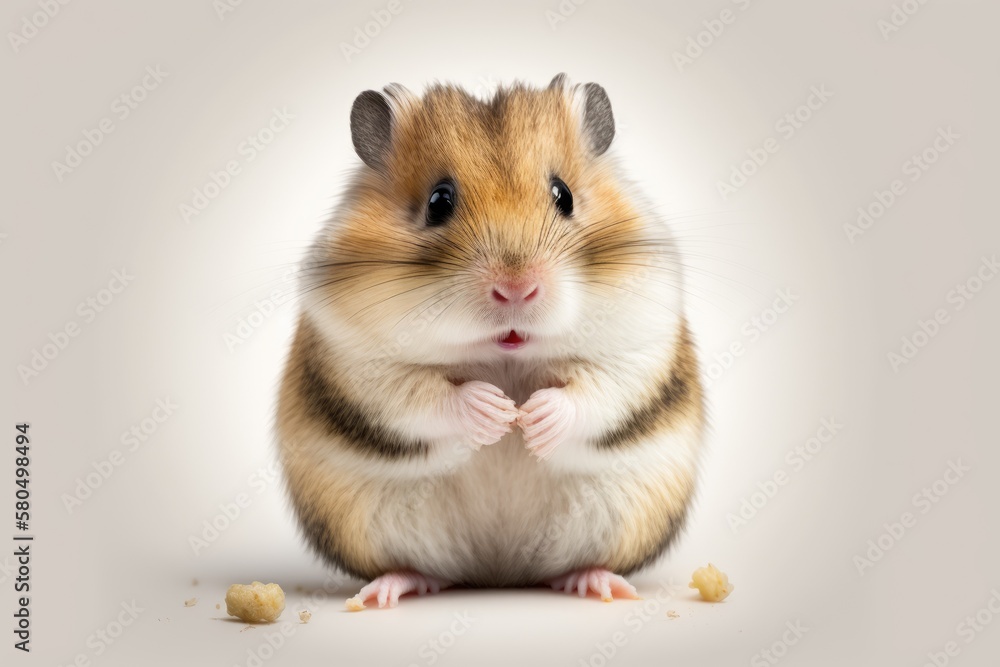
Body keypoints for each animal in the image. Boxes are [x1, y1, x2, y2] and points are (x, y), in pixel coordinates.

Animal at [277, 74, 704, 608]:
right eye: (439, 201)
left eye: (563, 194)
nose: (516, 289)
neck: (503, 356)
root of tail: (498, 574)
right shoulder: (357, 364)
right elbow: (420, 395)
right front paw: (498, 413)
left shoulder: (638, 347)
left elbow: (594, 391)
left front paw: (531, 418)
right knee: (417, 568)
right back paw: (386, 592)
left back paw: (599, 584)